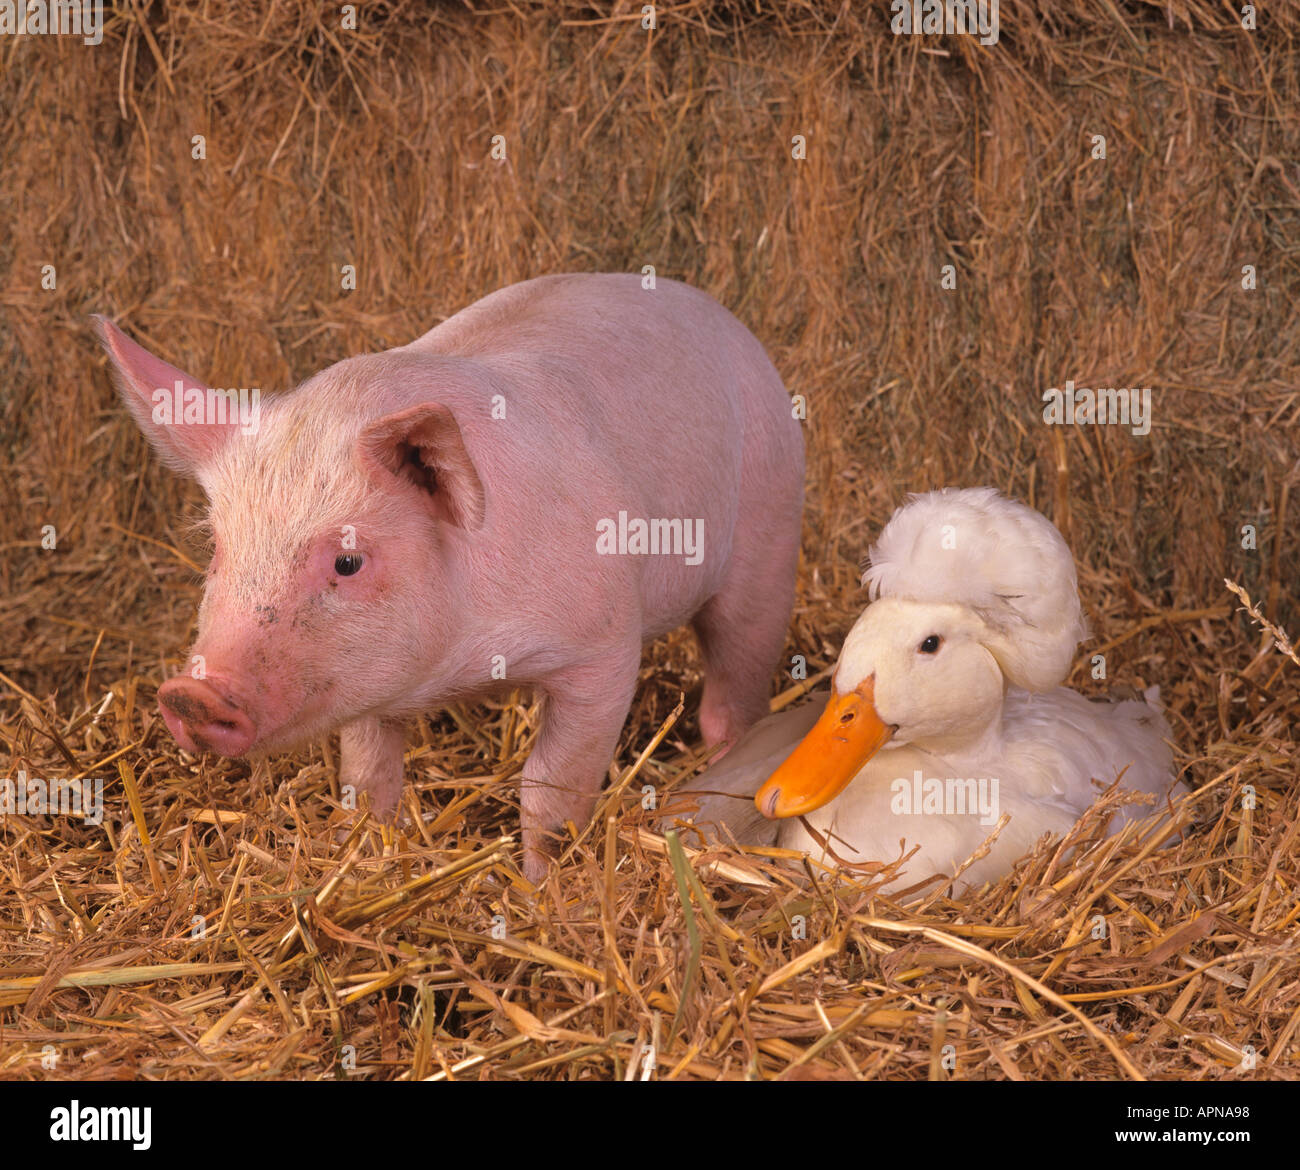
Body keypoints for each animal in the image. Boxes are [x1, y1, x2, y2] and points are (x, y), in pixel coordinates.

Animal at [97, 274, 804, 880]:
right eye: (217, 547)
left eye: (348, 561)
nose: (190, 694)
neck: (456, 664)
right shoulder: (368, 686)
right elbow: (366, 782)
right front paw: (370, 858)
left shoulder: (603, 646)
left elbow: (549, 792)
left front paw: (539, 890)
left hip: (769, 540)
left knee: (735, 691)